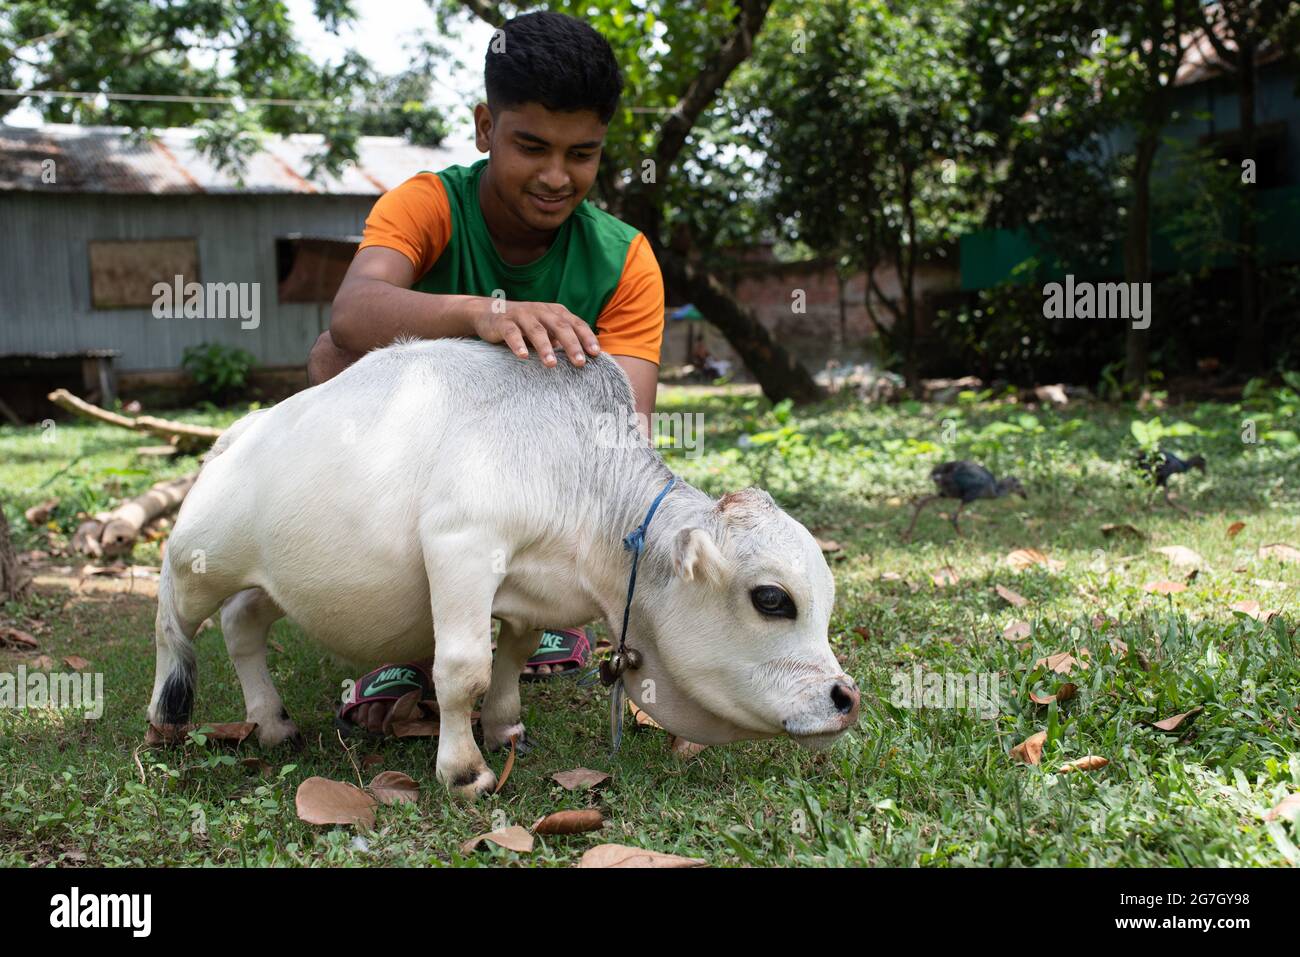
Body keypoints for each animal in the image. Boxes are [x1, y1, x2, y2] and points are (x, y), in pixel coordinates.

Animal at [148, 337, 860, 799]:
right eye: (772, 599)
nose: (846, 700)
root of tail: (240, 433)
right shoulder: (462, 545)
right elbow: (464, 669)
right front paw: (465, 771)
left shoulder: (527, 593)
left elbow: (513, 655)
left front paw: (504, 726)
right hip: (198, 560)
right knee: (172, 624)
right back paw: (165, 718)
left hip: (274, 582)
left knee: (243, 626)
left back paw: (273, 723)